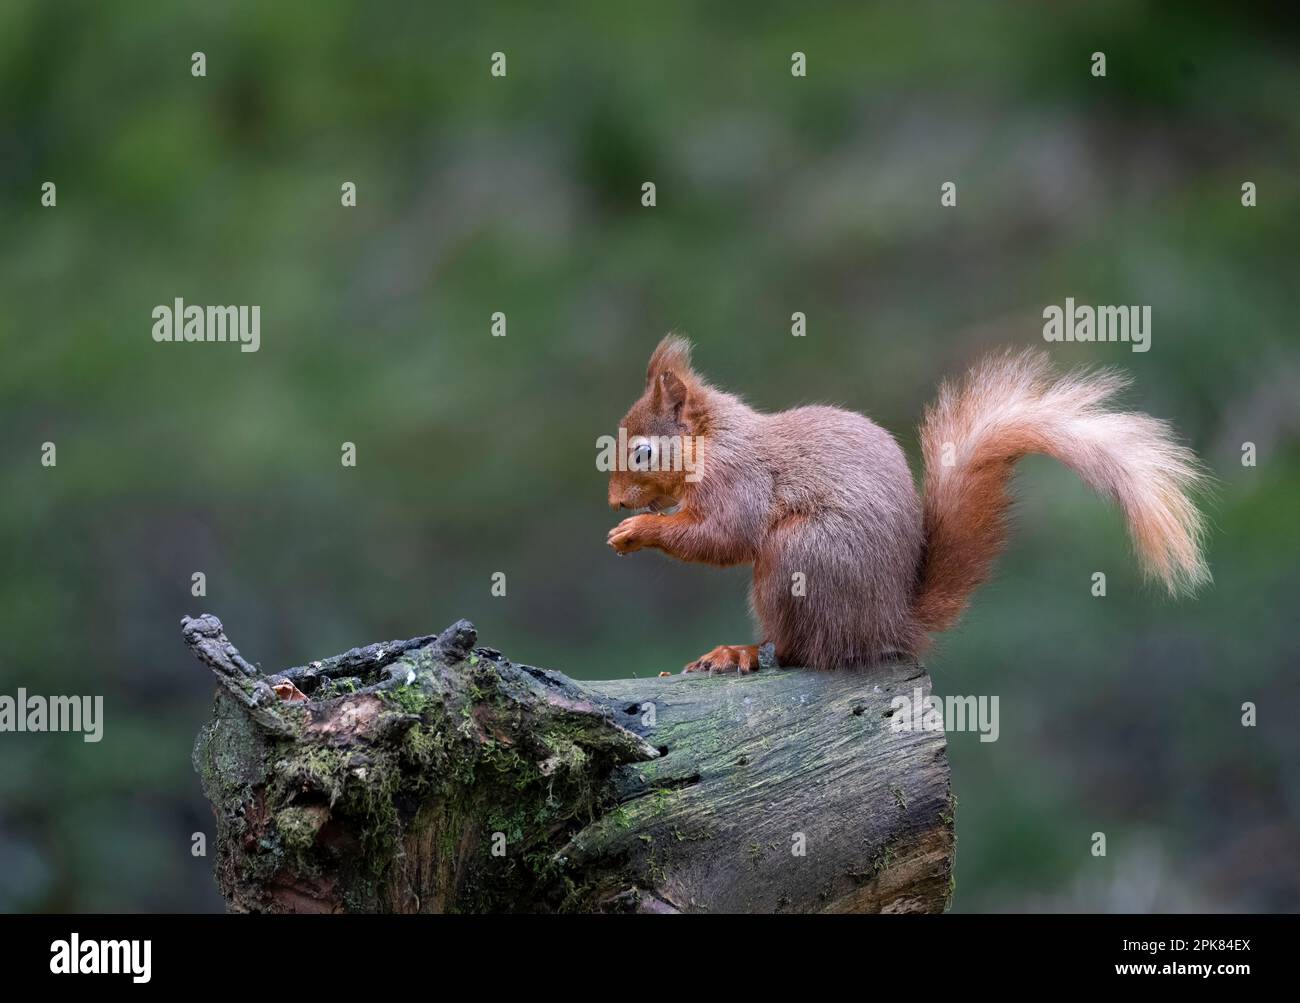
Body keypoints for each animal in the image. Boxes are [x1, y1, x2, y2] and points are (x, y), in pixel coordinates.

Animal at [606, 335, 1209, 672]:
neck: (713, 439)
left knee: (803, 650)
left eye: (642, 452)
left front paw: (638, 530)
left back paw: (744, 653)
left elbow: (723, 535)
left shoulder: (739, 479)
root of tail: (889, 624)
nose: (613, 502)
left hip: (798, 556)